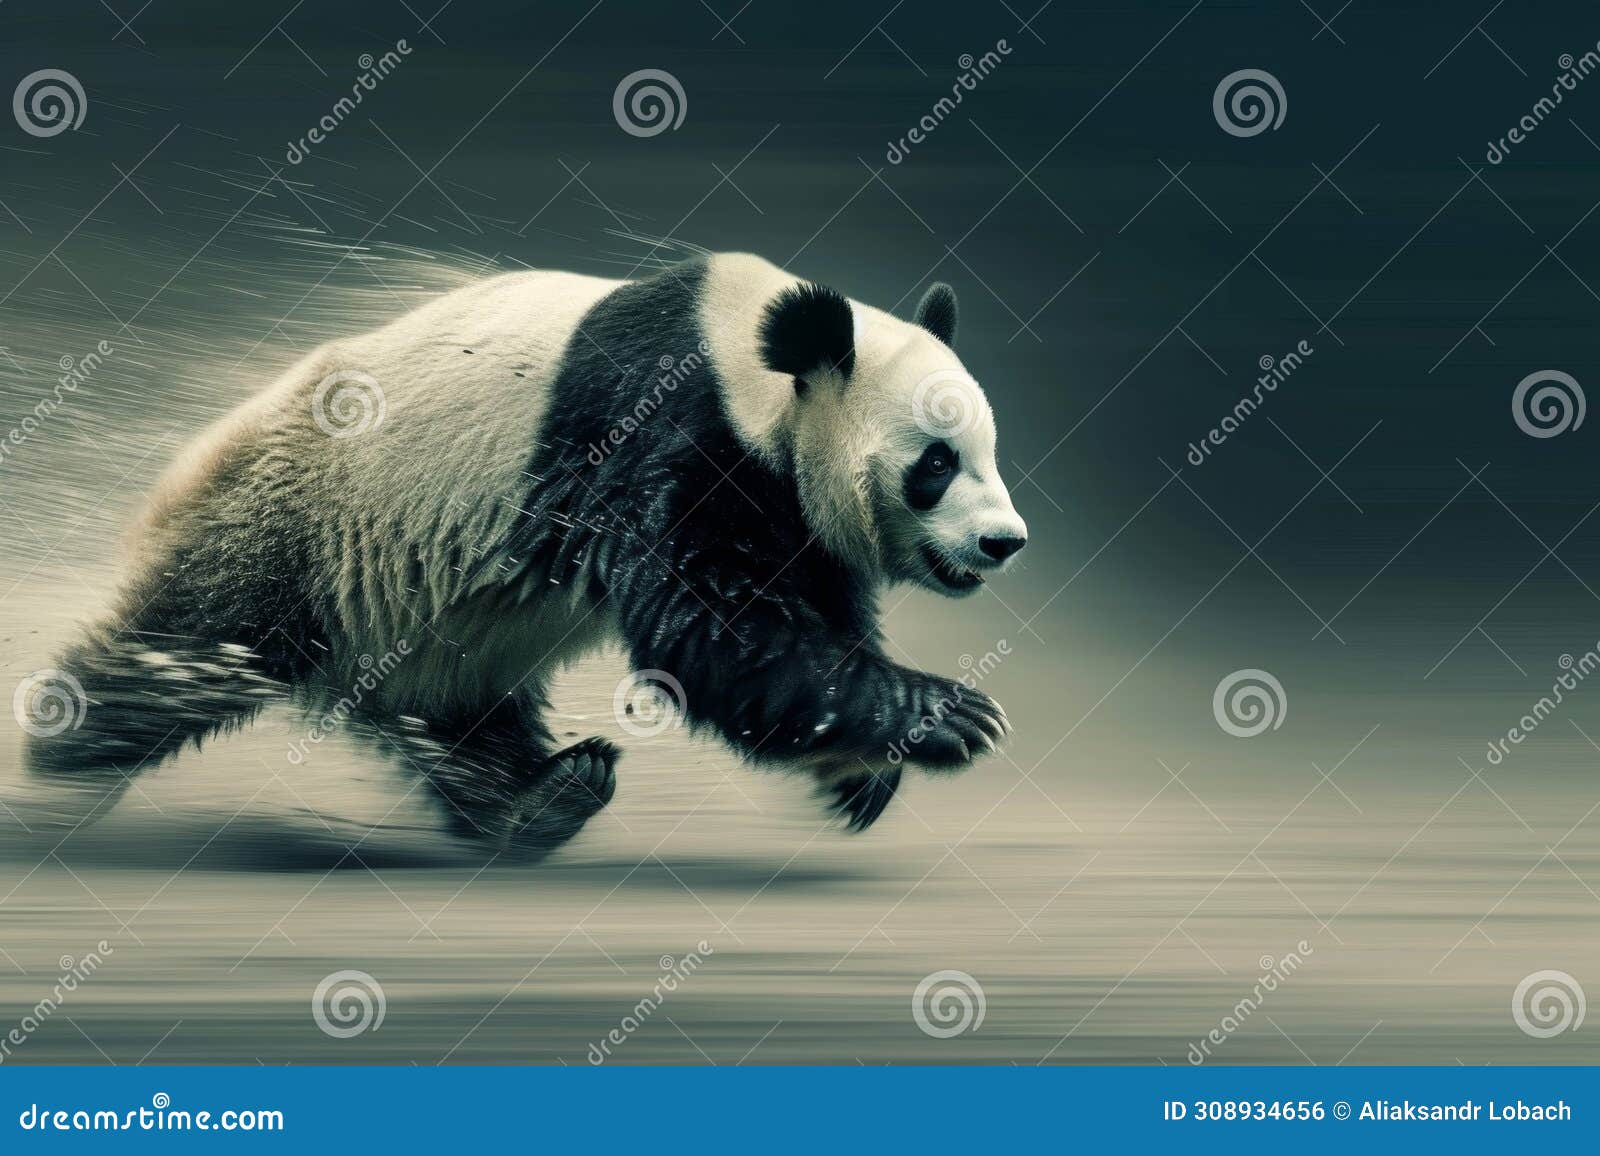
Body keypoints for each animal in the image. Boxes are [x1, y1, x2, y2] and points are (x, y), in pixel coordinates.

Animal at [22, 252, 1028, 858]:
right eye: (937, 462)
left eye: (990, 449)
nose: (1004, 542)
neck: (755, 361)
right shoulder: (663, 421)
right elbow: (713, 628)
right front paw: (949, 715)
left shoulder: (784, 497)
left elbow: (802, 611)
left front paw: (866, 771)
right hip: (295, 517)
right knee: (193, 644)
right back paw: (53, 770)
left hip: (424, 619)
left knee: (458, 712)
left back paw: (541, 796)